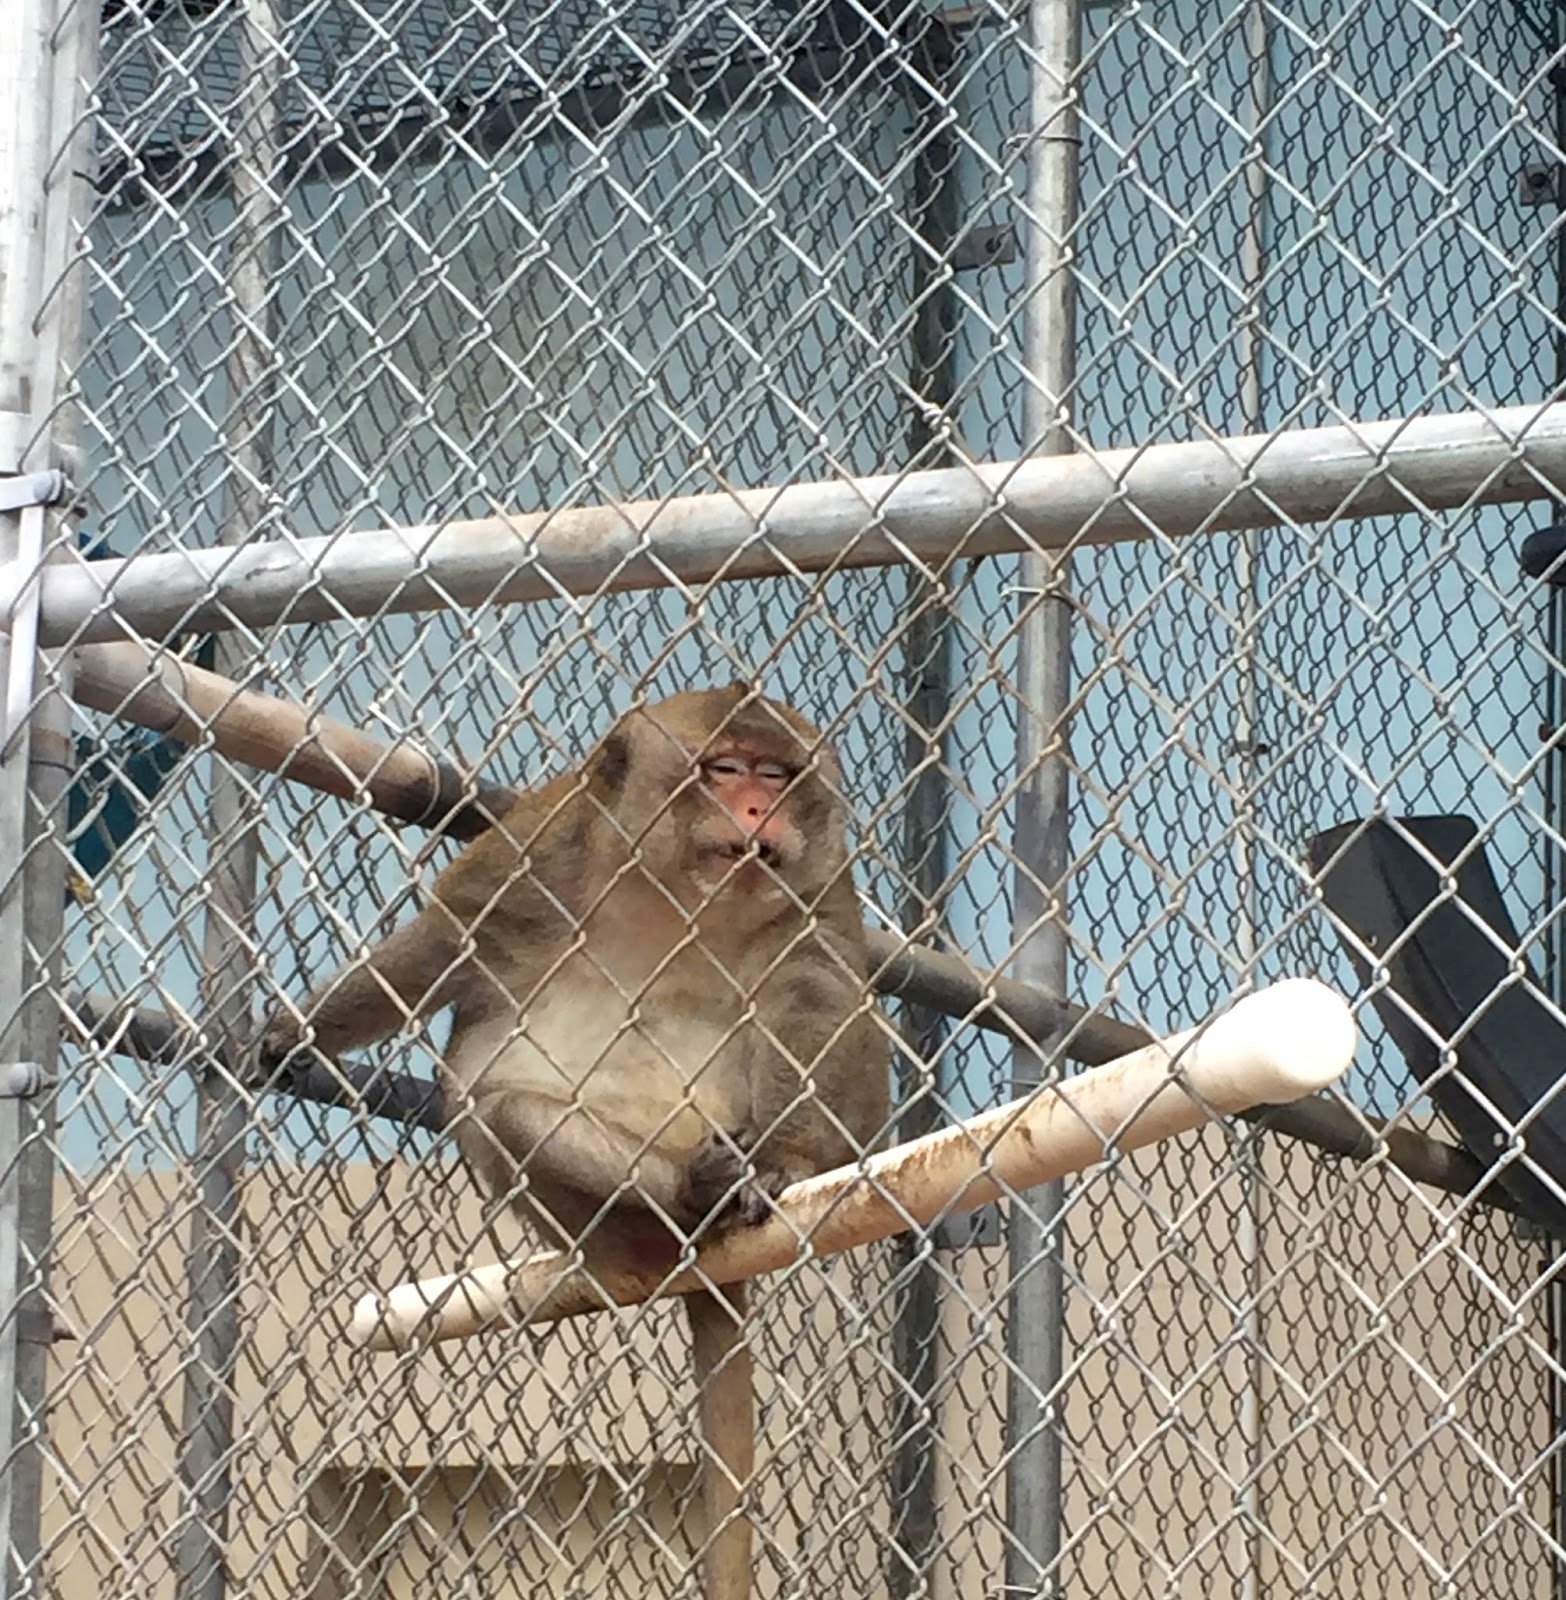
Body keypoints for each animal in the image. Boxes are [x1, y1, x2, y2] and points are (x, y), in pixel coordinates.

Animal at [258, 684, 889, 1599]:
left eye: (776, 773)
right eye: (724, 768)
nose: (756, 808)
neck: (678, 893)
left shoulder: (818, 885)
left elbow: (819, 989)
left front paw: (792, 1156)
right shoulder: (538, 847)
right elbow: (444, 939)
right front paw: (293, 1033)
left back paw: (731, 1179)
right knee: (506, 1113)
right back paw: (691, 1197)